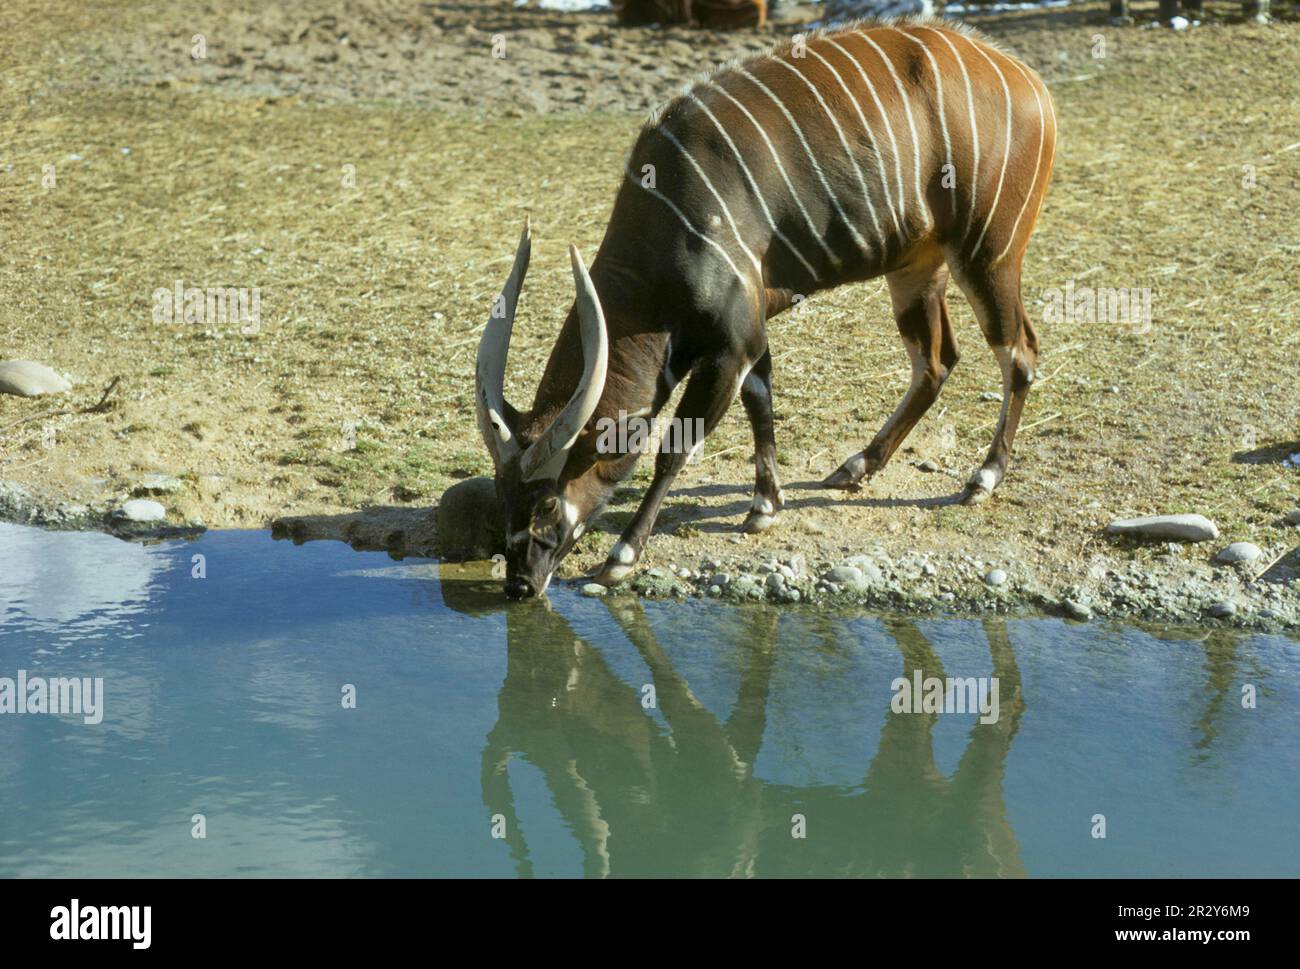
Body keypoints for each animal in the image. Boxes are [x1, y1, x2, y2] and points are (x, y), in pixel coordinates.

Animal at [475, 17, 1057, 599]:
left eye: (548, 504)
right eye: (503, 496)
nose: (520, 583)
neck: (671, 208)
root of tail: (1032, 84)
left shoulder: (730, 346)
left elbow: (675, 448)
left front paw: (621, 557)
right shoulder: (750, 335)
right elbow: (761, 401)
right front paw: (764, 507)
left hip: (988, 254)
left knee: (1019, 350)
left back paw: (983, 477)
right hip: (917, 266)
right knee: (936, 361)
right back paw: (856, 466)